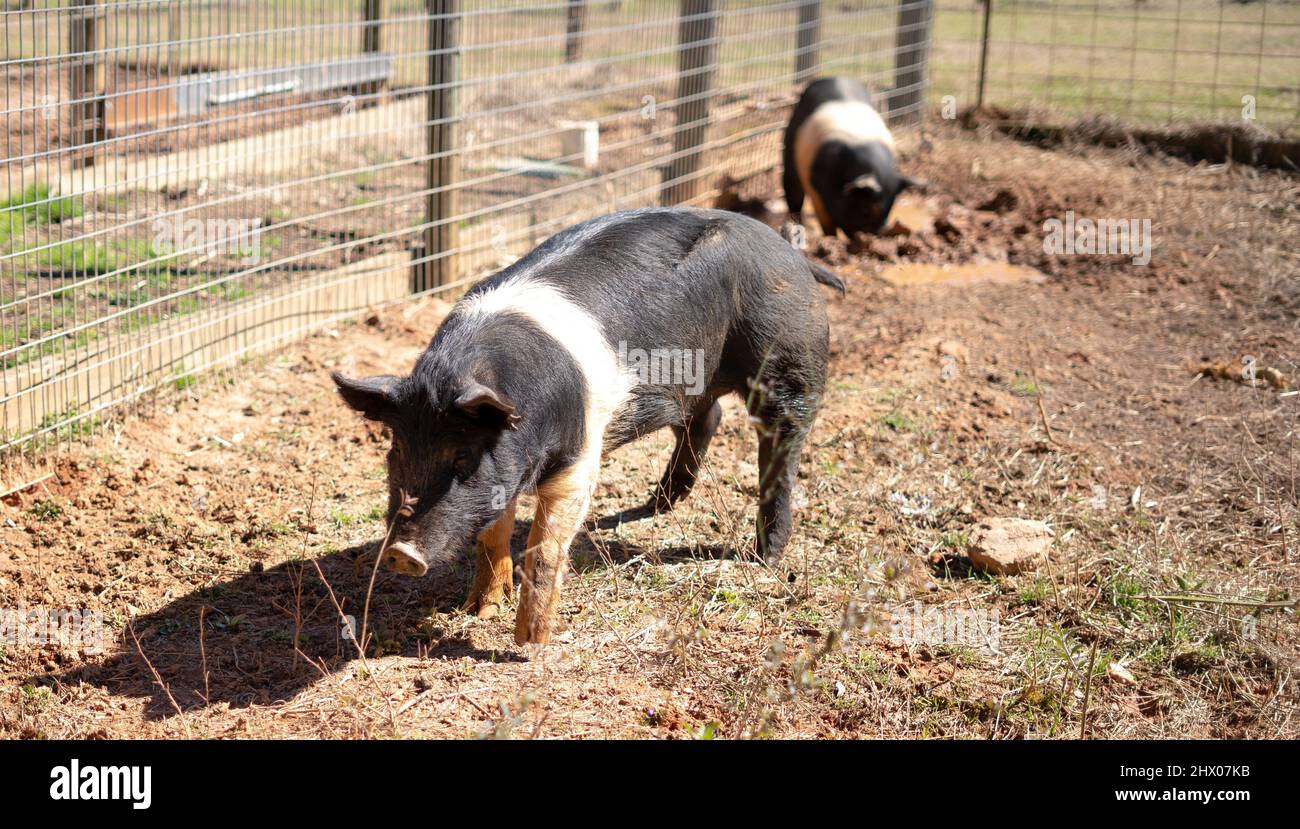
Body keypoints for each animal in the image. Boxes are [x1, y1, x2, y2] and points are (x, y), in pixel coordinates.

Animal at [332, 207, 843, 644]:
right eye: (397, 451)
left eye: (462, 457)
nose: (401, 553)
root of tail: (788, 250)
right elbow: (491, 534)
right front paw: (478, 610)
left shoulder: (579, 458)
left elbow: (544, 548)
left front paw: (530, 644)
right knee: (706, 418)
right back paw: (659, 504)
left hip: (789, 356)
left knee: (782, 446)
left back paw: (763, 557)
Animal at [783, 76, 919, 238]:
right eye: (865, 210)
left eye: (889, 210)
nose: (871, 236)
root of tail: (834, 77)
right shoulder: (816, 187)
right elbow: (826, 222)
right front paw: (831, 239)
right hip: (791, 147)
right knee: (793, 191)